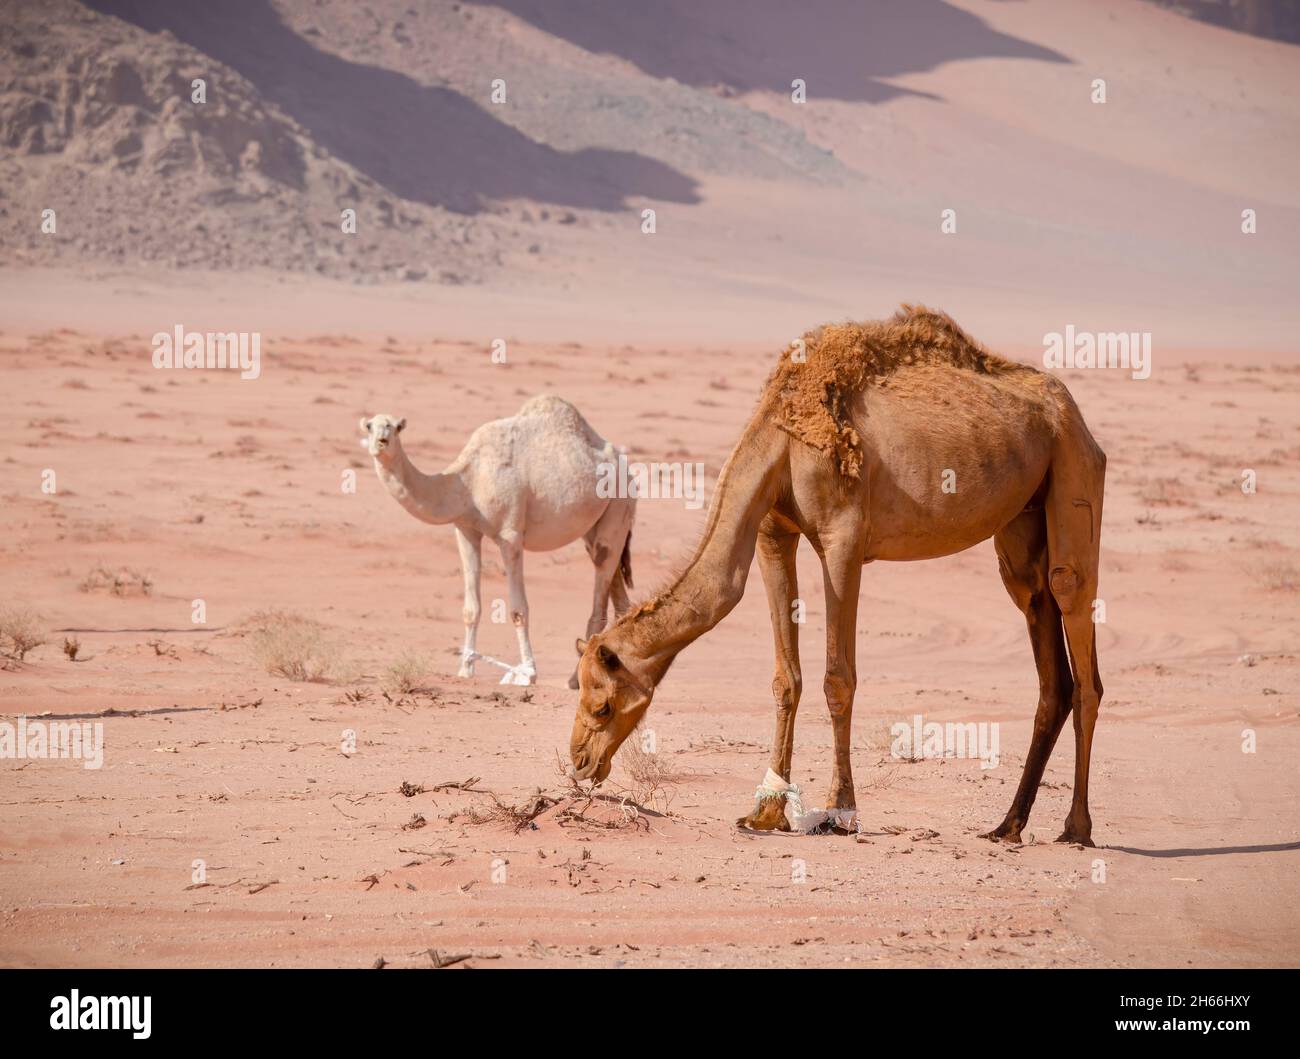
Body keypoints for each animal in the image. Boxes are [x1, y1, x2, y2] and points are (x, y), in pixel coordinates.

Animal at [361, 395, 635, 687]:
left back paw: (575, 679)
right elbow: (471, 608)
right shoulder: (465, 529)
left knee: (601, 590)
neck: (467, 480)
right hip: (597, 528)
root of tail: (626, 467)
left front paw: (528, 672)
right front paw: (465, 670)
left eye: (394, 427)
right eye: (369, 426)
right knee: (618, 595)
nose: (381, 441)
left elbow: (518, 610)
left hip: (619, 506)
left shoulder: (510, 535)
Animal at [569, 306, 1107, 845]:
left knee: (1074, 615)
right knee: (1043, 633)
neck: (779, 444)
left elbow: (838, 679)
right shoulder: (772, 532)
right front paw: (766, 811)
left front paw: (841, 810)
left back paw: (1077, 827)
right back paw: (1008, 825)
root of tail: (1074, 414)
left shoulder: (843, 540)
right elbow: (785, 678)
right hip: (1022, 519)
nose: (579, 762)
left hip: (1075, 467)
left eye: (602, 705)